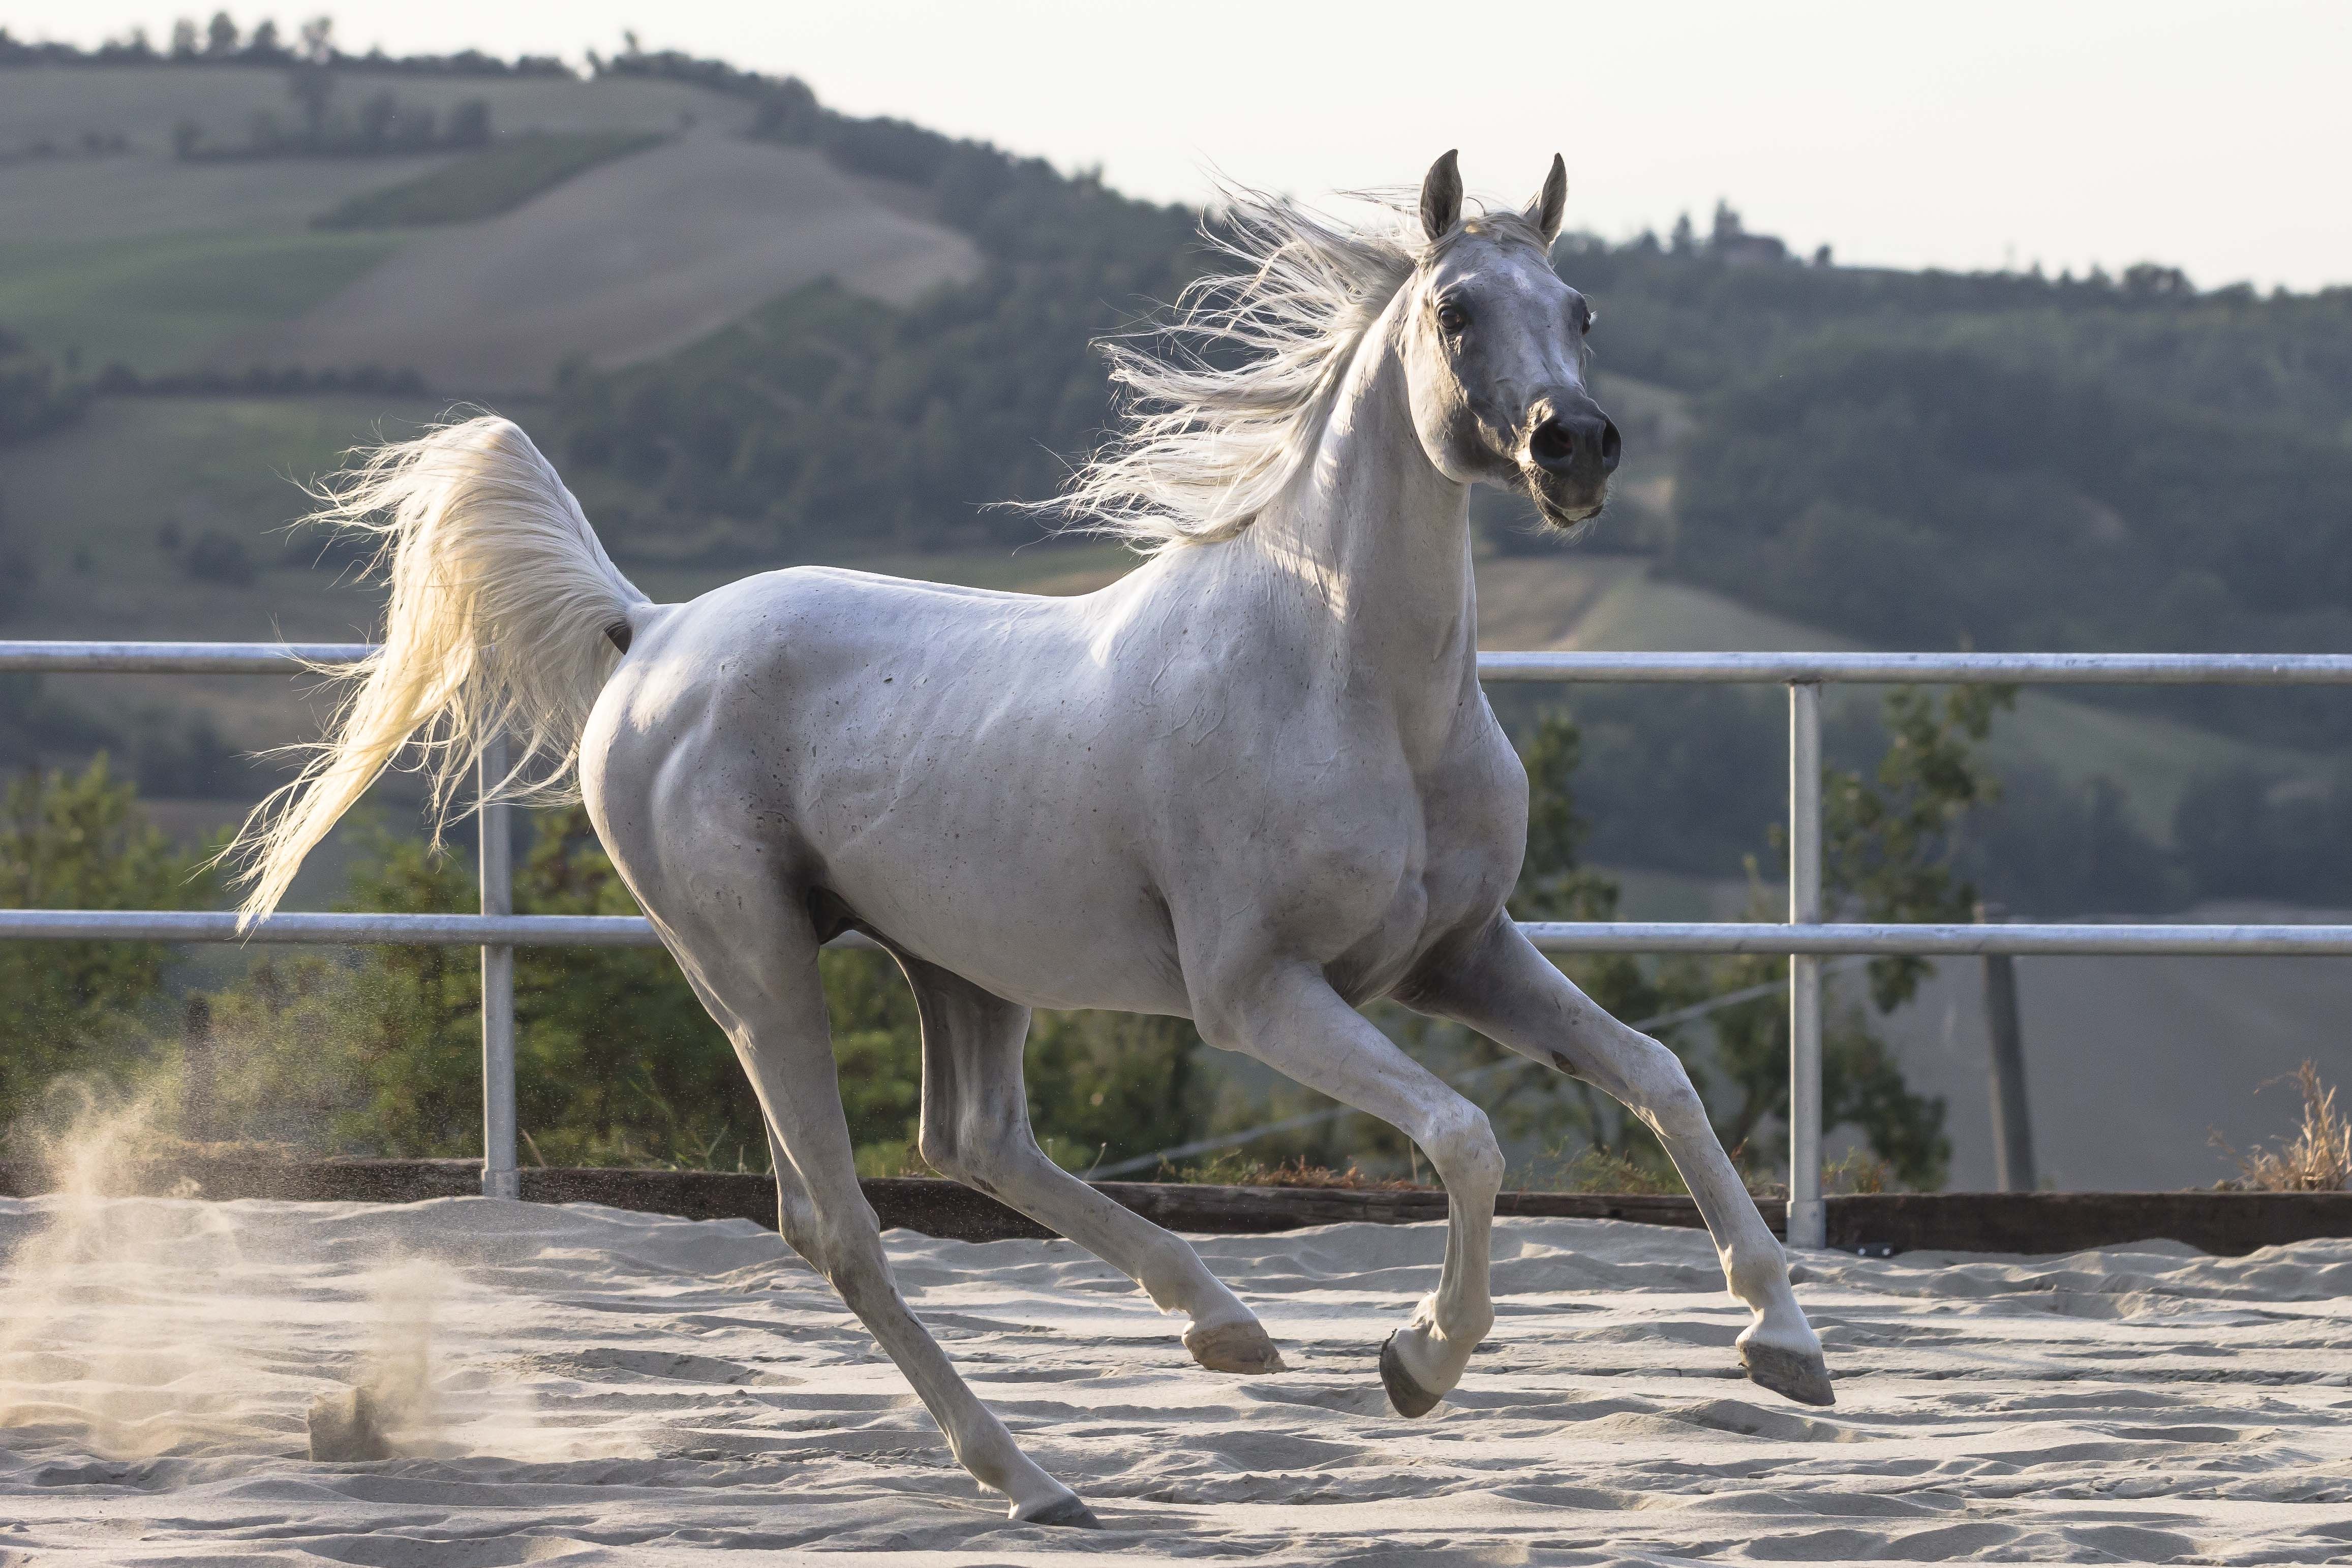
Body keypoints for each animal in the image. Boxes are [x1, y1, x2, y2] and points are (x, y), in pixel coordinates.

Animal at [232, 151, 1831, 1526]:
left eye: (1581, 309)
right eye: (1455, 310)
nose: (1579, 448)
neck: (1345, 675)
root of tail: (653, 628)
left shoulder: (1461, 953)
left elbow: (1656, 1076)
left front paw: (1785, 1345)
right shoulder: (1259, 993)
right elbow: (1467, 1134)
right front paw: (1417, 1358)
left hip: (959, 963)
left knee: (976, 1139)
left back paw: (1219, 1325)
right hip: (752, 966)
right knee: (841, 1225)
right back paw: (1033, 1473)